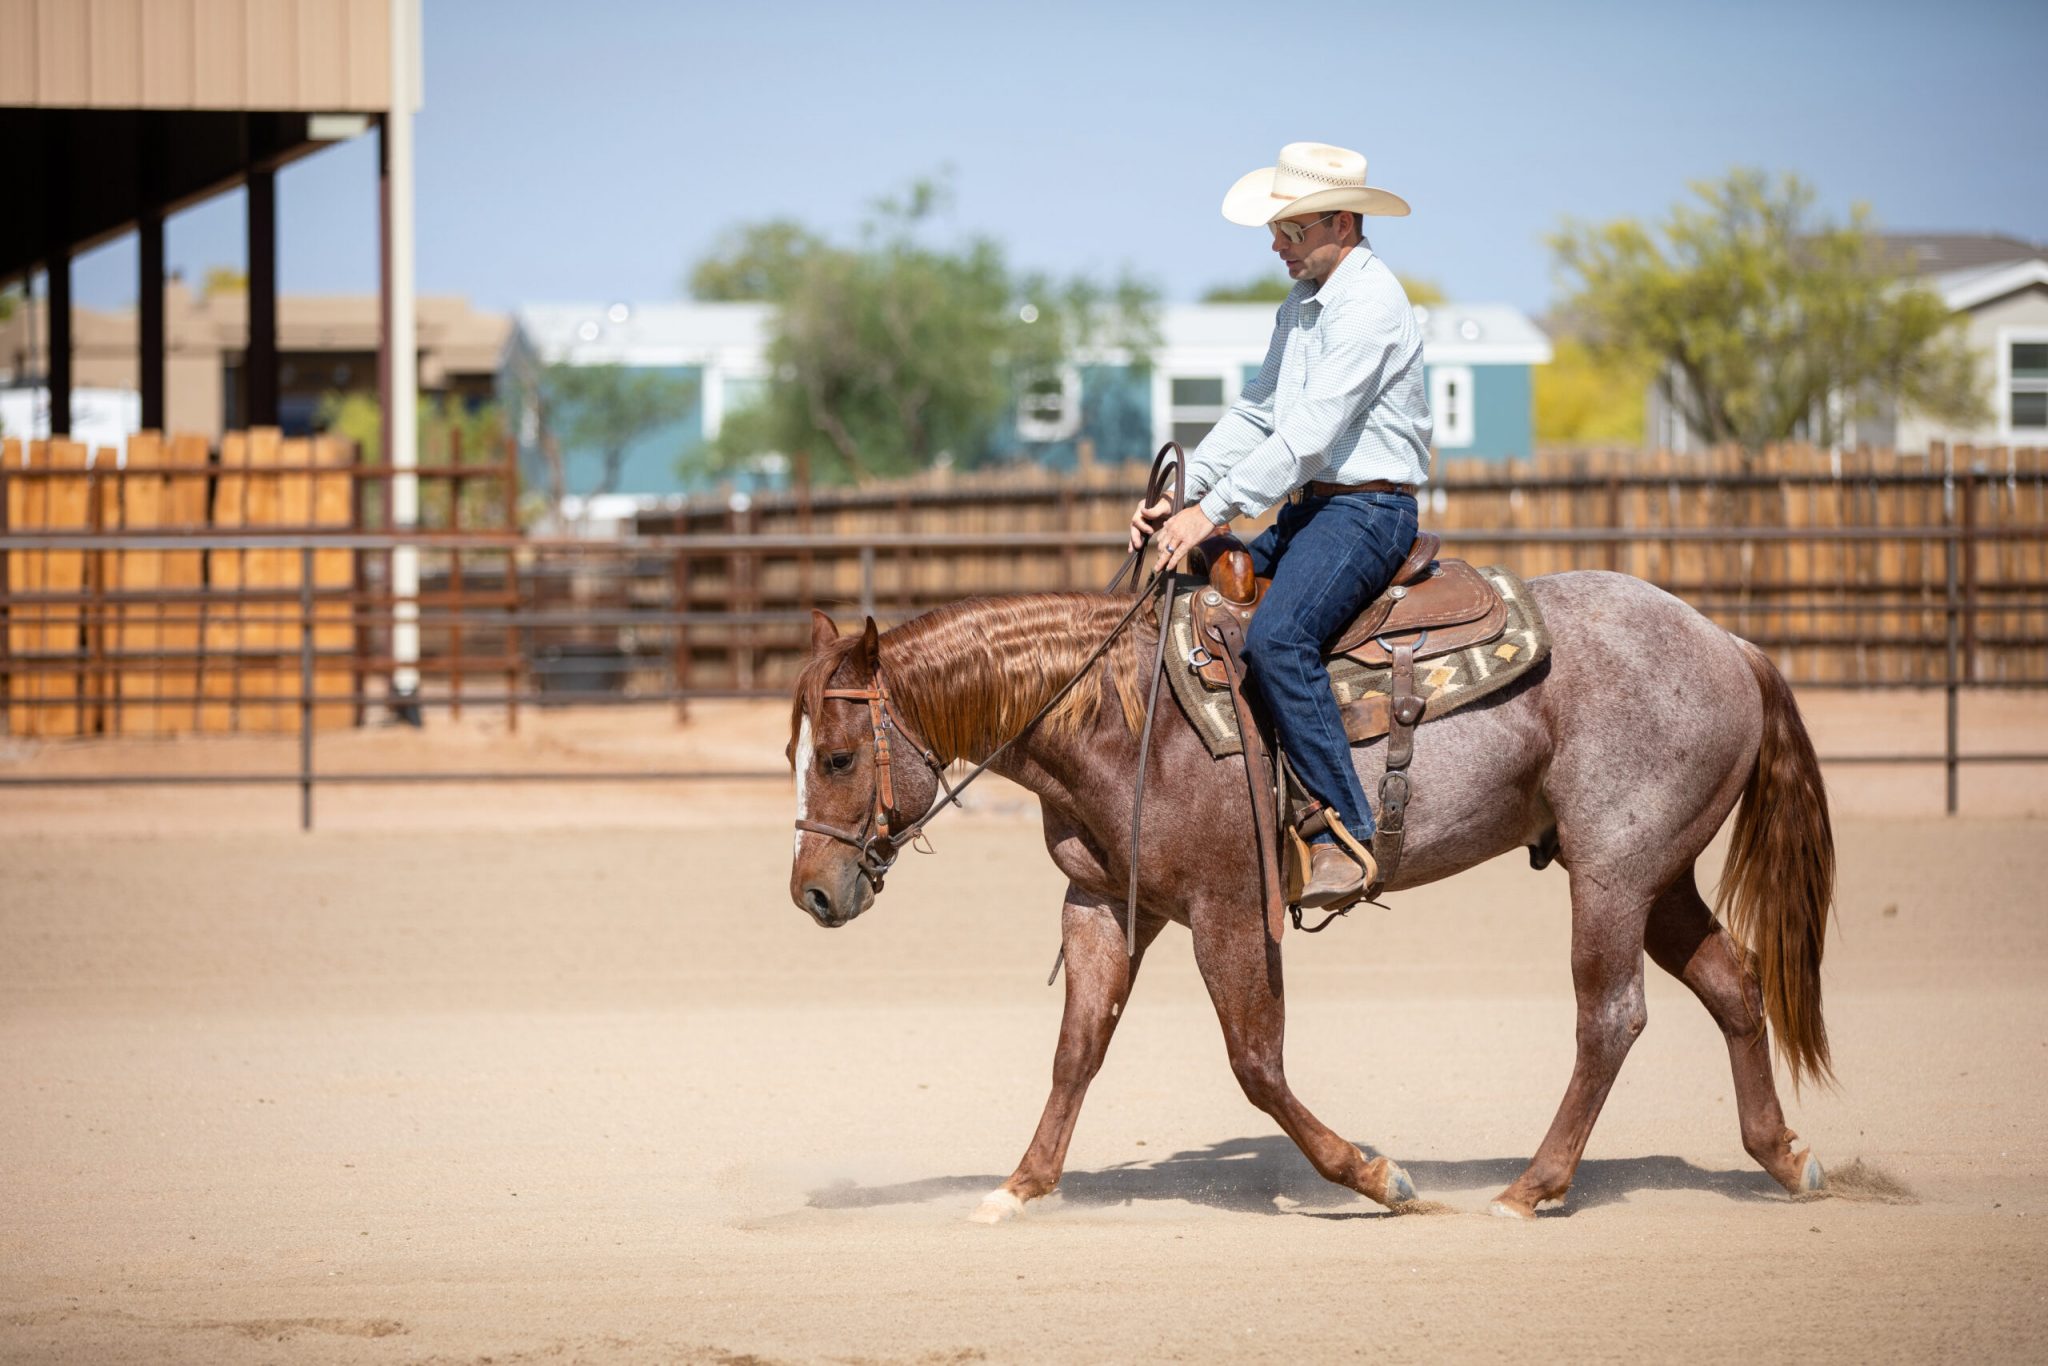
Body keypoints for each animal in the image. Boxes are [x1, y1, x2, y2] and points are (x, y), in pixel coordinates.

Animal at [785, 568, 1834, 1221]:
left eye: (837, 756)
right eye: (797, 751)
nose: (812, 895)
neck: (1126, 721)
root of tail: (1729, 641)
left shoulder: (1227, 911)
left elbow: (1256, 1063)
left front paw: (1374, 1175)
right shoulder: (1104, 906)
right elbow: (1077, 1051)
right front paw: (1019, 1186)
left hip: (1613, 873)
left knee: (1609, 1017)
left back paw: (1531, 1188)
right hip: (1657, 874)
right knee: (1733, 985)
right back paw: (1787, 1157)